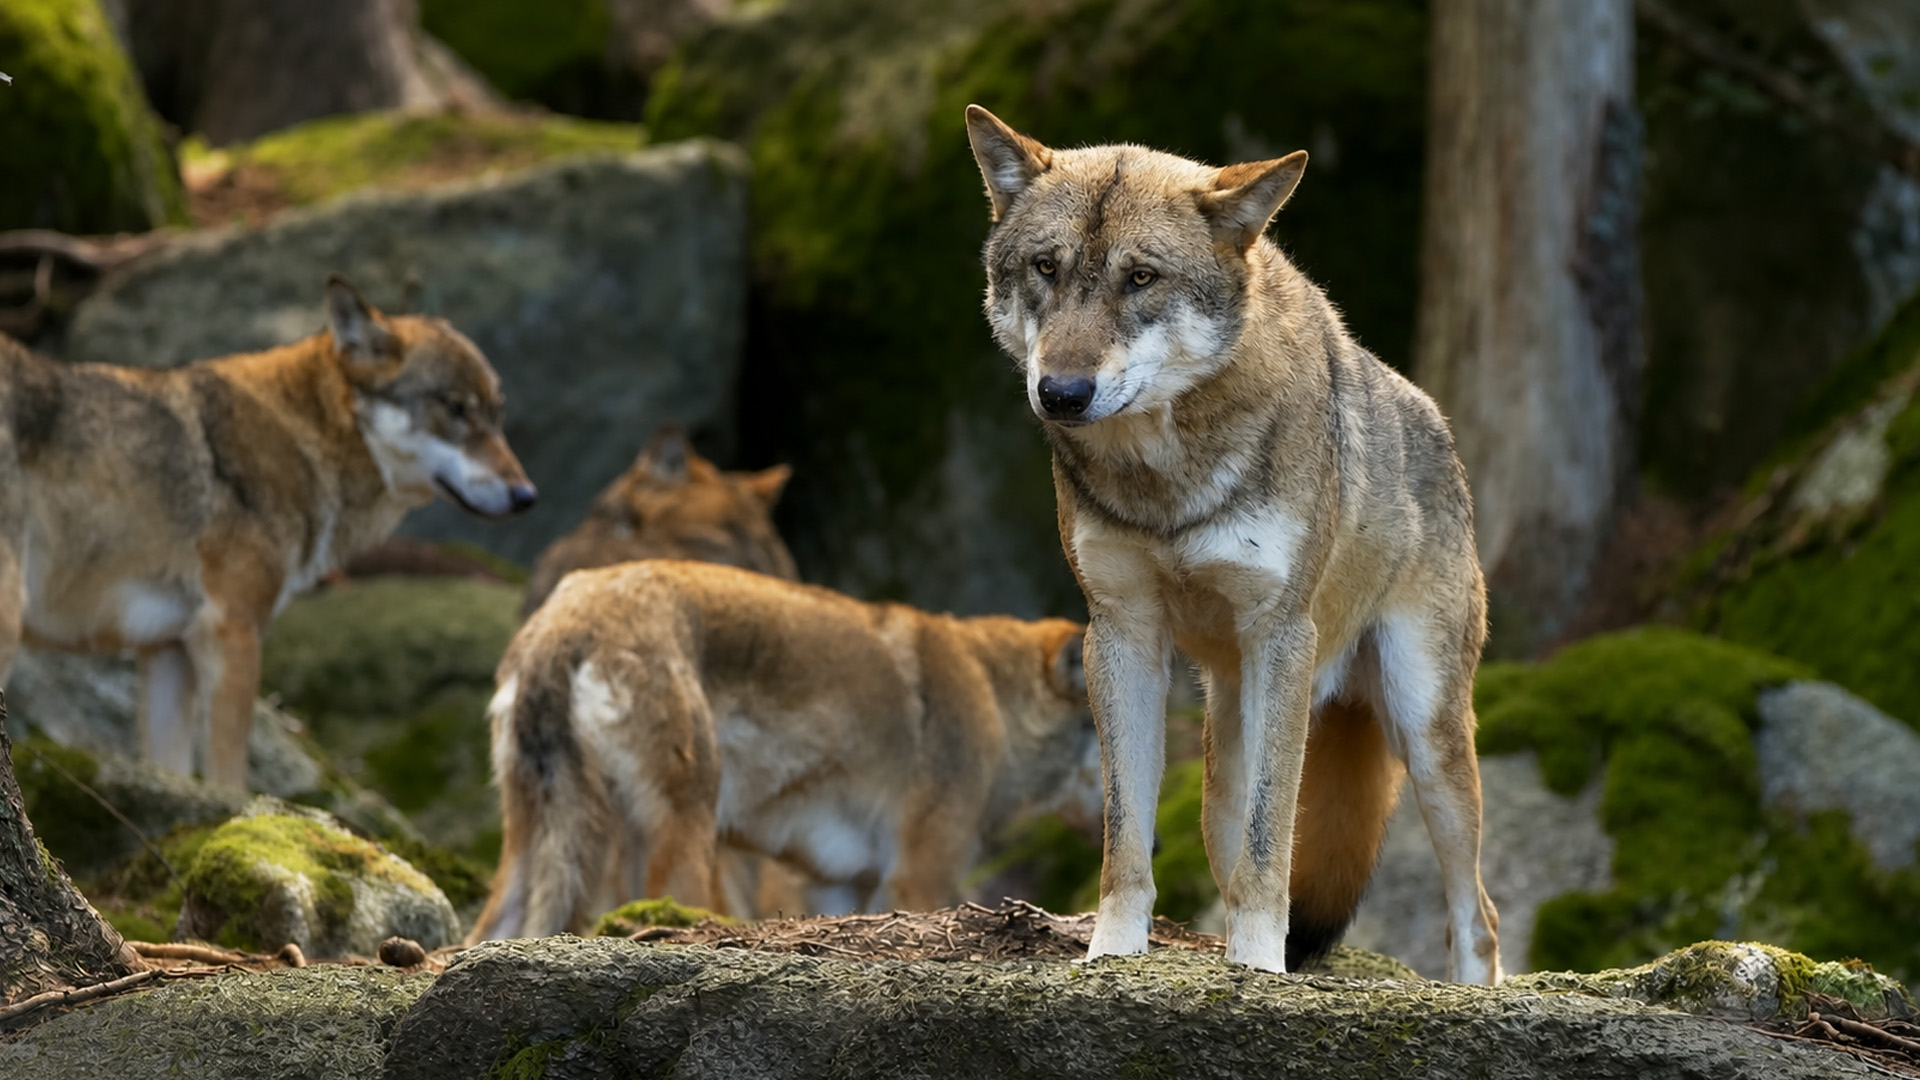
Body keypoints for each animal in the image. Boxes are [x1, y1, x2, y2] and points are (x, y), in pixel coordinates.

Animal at [0, 275, 535, 790]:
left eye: (498, 414)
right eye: (455, 408)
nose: (527, 495)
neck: (307, 440)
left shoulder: (167, 651)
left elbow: (173, 771)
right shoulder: (232, 633)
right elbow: (230, 781)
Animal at [467, 558, 1103, 941]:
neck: (995, 699)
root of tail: (568, 620)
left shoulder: (841, 887)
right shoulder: (922, 878)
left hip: (535, 845)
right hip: (685, 833)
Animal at [965, 106, 1501, 982]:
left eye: (1141, 278)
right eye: (1046, 267)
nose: (1061, 394)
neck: (1167, 478)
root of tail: (1435, 423)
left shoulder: (1281, 635)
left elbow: (1268, 846)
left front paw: (1256, 971)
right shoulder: (1120, 635)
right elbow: (1125, 837)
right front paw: (1112, 955)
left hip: (1425, 733)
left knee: (1476, 916)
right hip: (1224, 758)